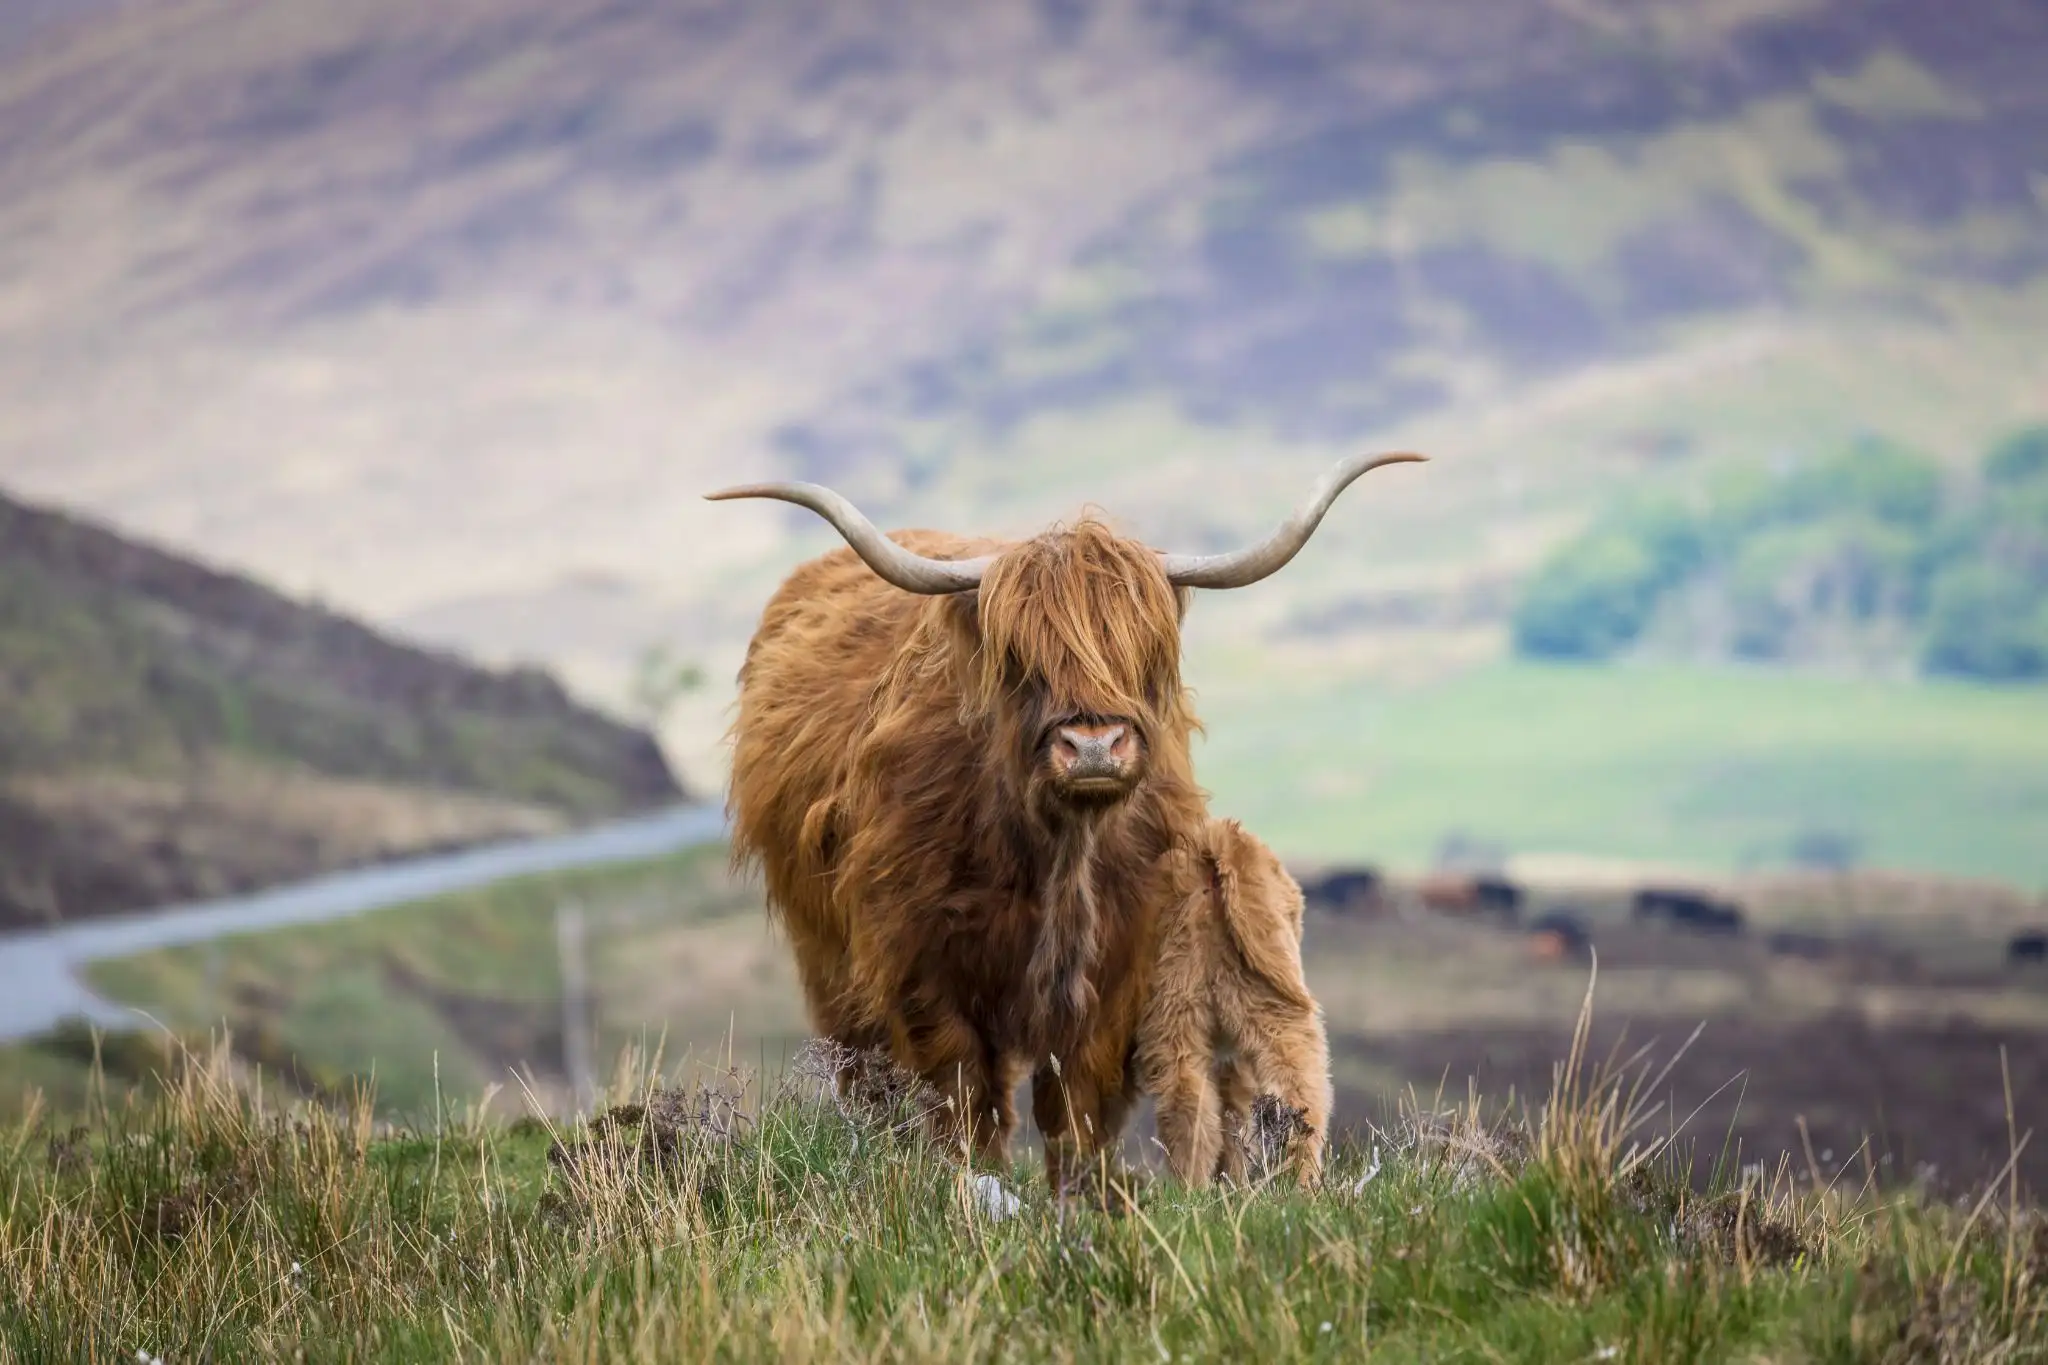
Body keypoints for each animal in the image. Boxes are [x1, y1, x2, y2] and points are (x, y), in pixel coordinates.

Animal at [1140, 817, 1333, 1190]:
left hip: (1175, 1006)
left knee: (1187, 1095)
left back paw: (1191, 1187)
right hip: (1273, 1005)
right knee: (1301, 1090)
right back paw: (1303, 1184)